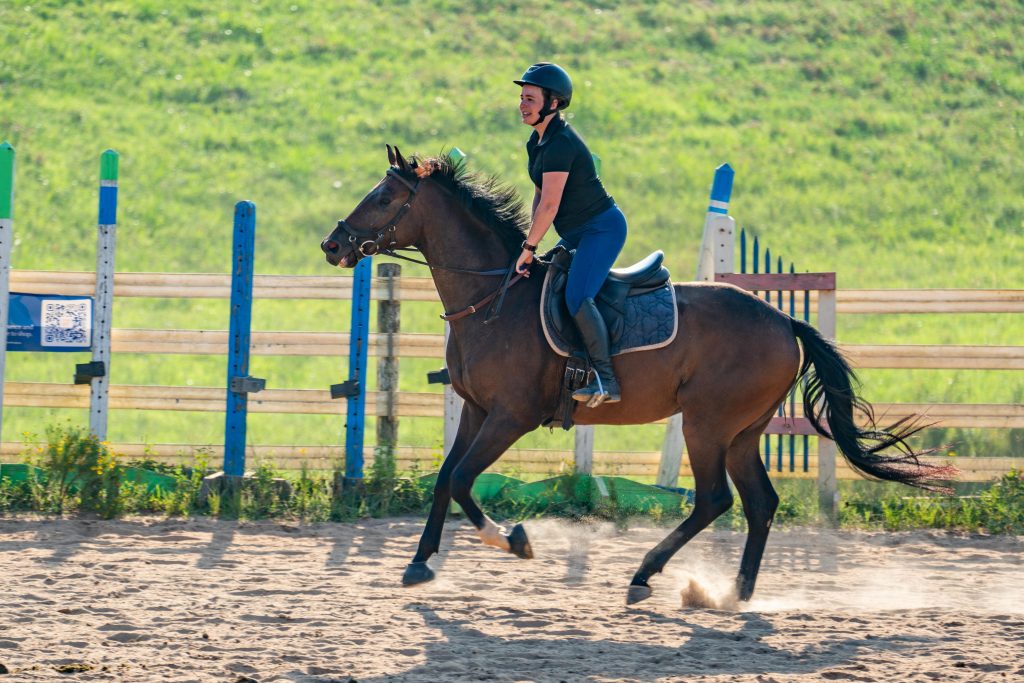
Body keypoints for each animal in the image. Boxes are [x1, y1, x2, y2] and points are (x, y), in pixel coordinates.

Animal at [320, 146, 954, 604]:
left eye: (383, 197)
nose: (332, 244)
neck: (492, 298)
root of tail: (783, 320)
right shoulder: (476, 410)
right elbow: (444, 480)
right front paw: (419, 563)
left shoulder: (510, 417)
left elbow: (460, 481)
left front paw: (514, 540)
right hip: (742, 432)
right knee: (759, 503)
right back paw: (735, 592)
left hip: (706, 425)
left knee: (714, 500)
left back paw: (648, 574)